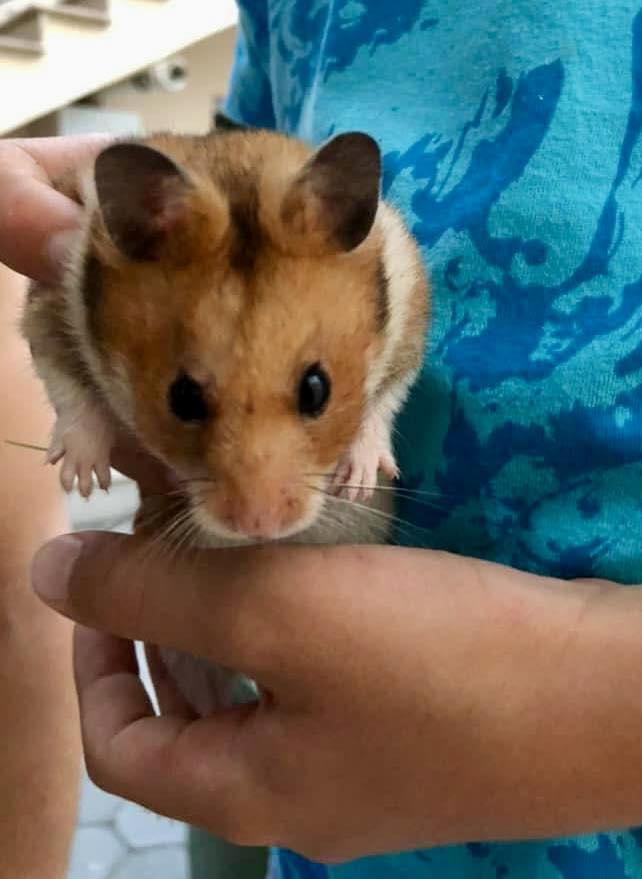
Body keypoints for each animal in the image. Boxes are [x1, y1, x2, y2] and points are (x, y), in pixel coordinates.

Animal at [22, 128, 429, 714]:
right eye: (182, 398)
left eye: (317, 389)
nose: (260, 528)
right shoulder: (50, 301)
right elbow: (68, 385)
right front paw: (84, 479)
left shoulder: (412, 296)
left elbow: (389, 390)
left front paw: (359, 481)